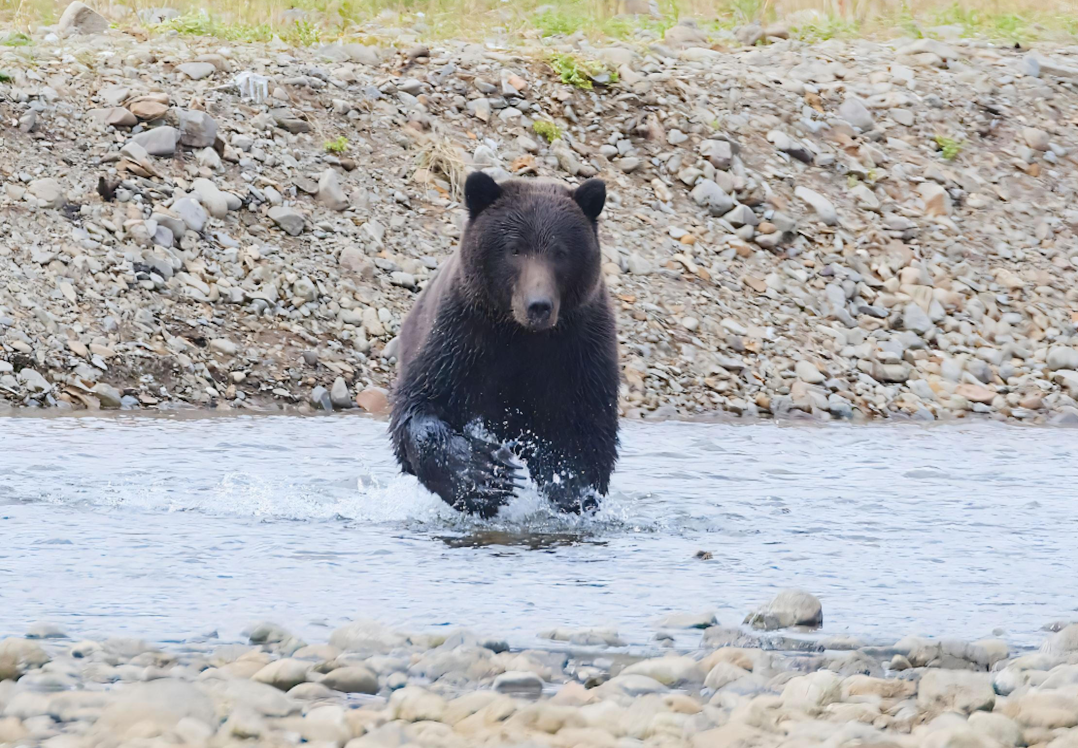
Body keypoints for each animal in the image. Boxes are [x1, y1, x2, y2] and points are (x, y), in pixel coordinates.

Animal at [389, 171, 619, 518]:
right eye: (514, 249)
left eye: (560, 252)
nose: (538, 306)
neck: (518, 332)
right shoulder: (460, 337)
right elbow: (421, 405)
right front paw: (486, 474)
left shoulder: (579, 348)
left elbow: (585, 430)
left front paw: (568, 490)